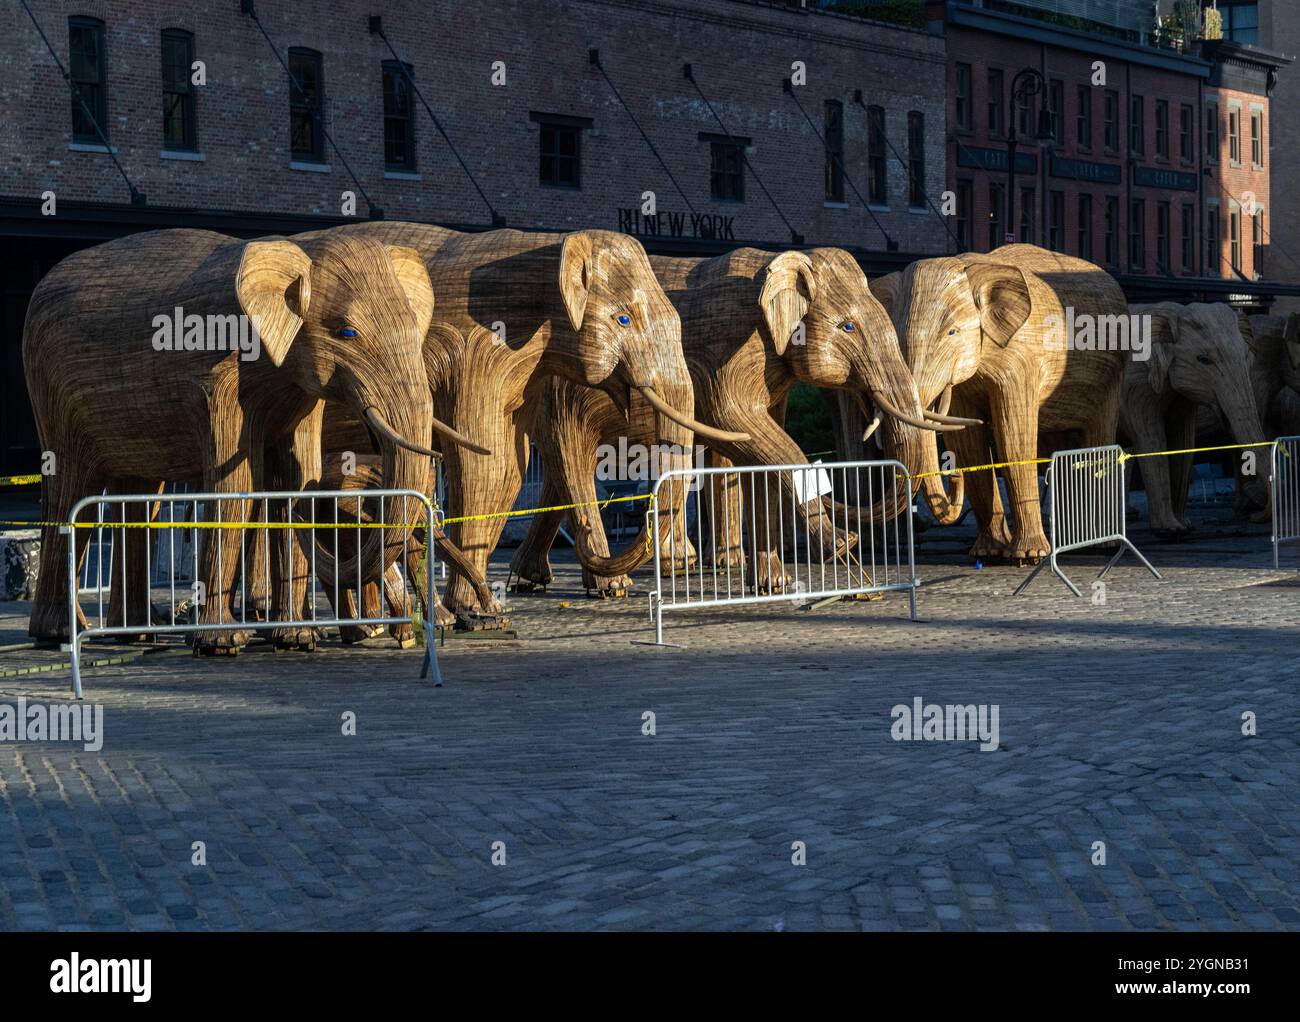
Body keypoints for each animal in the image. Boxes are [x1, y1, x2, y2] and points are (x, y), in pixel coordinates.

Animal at [22, 228, 461, 648]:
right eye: (347, 332)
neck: (300, 248)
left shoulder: (298, 384)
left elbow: (299, 475)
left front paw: (298, 638)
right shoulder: (217, 376)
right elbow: (236, 482)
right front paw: (222, 643)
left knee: (140, 497)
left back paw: (135, 634)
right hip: (51, 392)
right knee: (71, 490)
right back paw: (60, 634)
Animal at [302, 221, 735, 627]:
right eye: (624, 319)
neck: (544, 248)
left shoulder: (525, 374)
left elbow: (513, 466)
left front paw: (480, 610)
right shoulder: (480, 354)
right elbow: (485, 462)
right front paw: (476, 611)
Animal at [508, 246, 955, 594]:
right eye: (848, 326)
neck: (775, 263)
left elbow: (759, 451)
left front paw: (774, 585)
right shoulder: (728, 352)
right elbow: (754, 435)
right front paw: (842, 549)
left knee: (558, 473)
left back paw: (531, 579)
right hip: (561, 392)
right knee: (574, 460)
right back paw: (613, 586)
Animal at [872, 244, 1129, 564]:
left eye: (952, 332)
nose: (952, 476)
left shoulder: (1021, 358)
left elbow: (1012, 437)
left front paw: (1029, 557)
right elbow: (968, 443)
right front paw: (989, 553)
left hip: (1112, 375)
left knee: (1098, 437)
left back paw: (1101, 545)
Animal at [1120, 302, 1268, 536]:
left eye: (1246, 357)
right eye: (1203, 360)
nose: (1256, 516)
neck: (1174, 314)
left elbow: (1184, 441)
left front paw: (1185, 526)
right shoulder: (1134, 388)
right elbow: (1151, 438)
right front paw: (1170, 530)